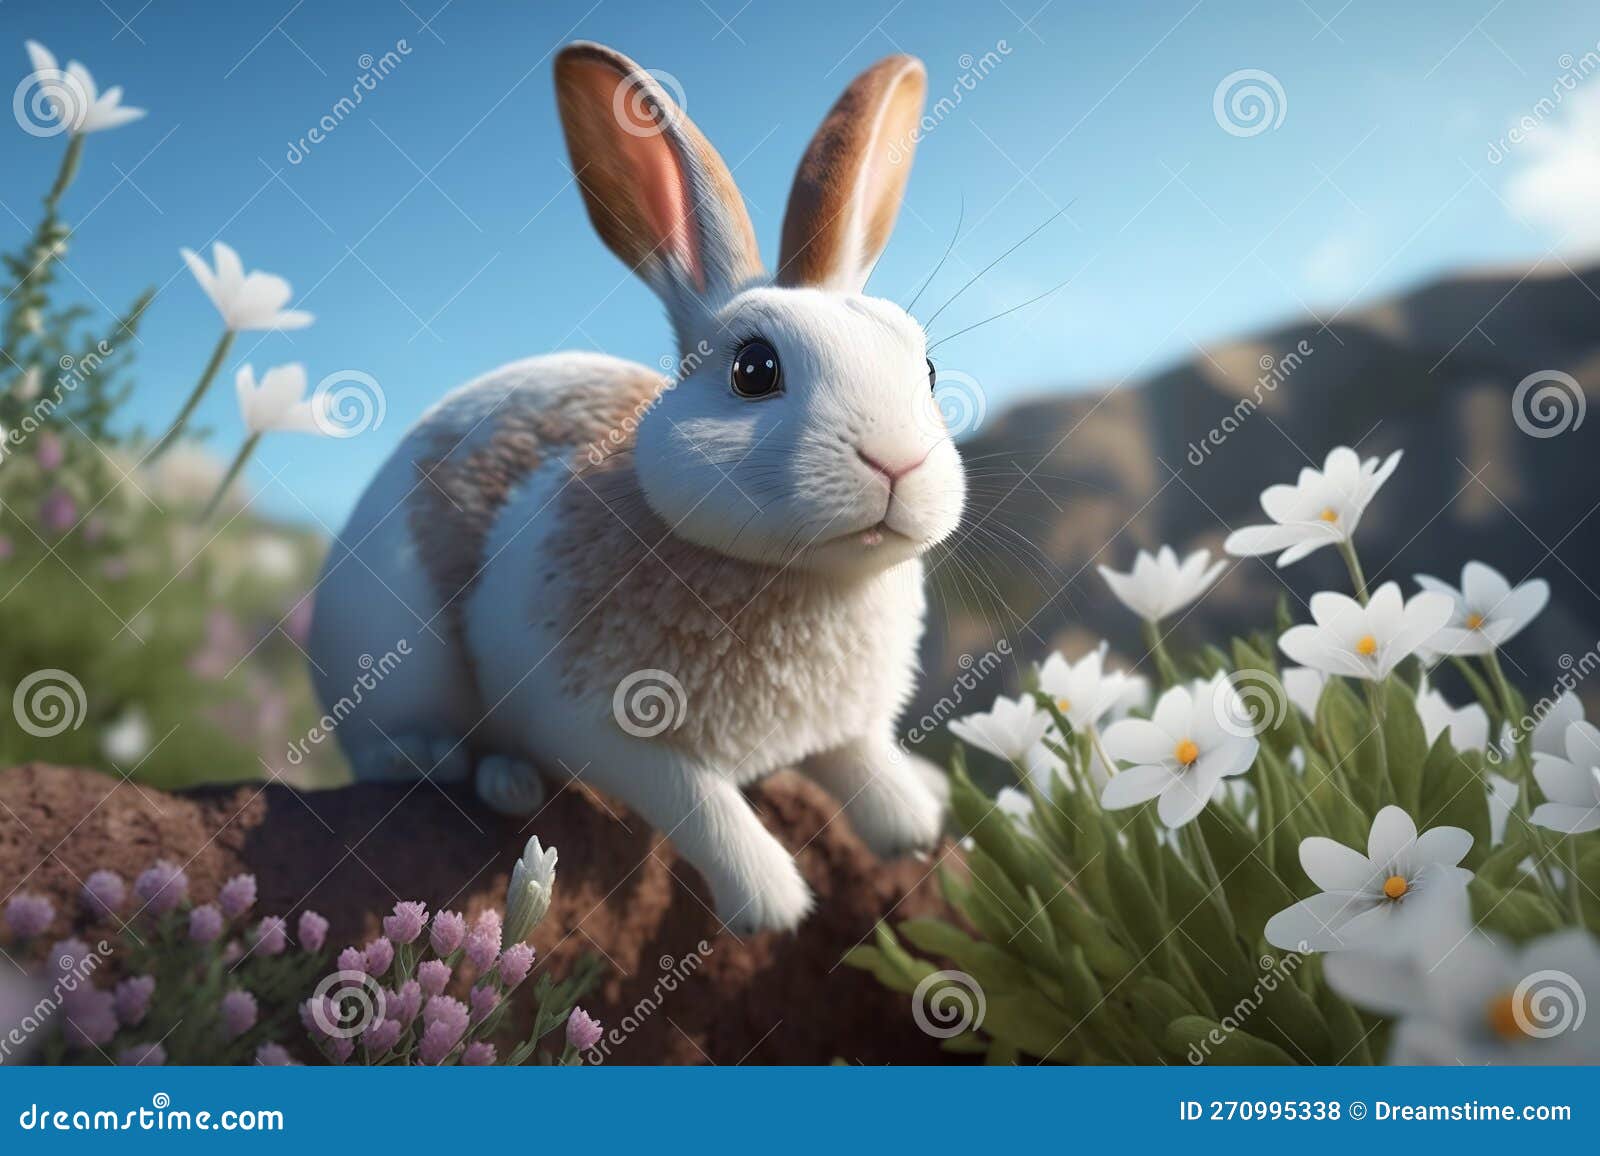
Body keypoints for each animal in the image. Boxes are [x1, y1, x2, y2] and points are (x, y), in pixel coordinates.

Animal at [307, 41, 966, 934]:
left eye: (925, 369)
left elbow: (864, 758)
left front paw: (913, 823)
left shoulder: (848, 722)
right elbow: (699, 800)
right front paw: (769, 905)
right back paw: (472, 770)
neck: (803, 578)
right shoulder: (597, 726)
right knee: (381, 750)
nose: (896, 462)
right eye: (754, 369)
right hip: (385, 665)